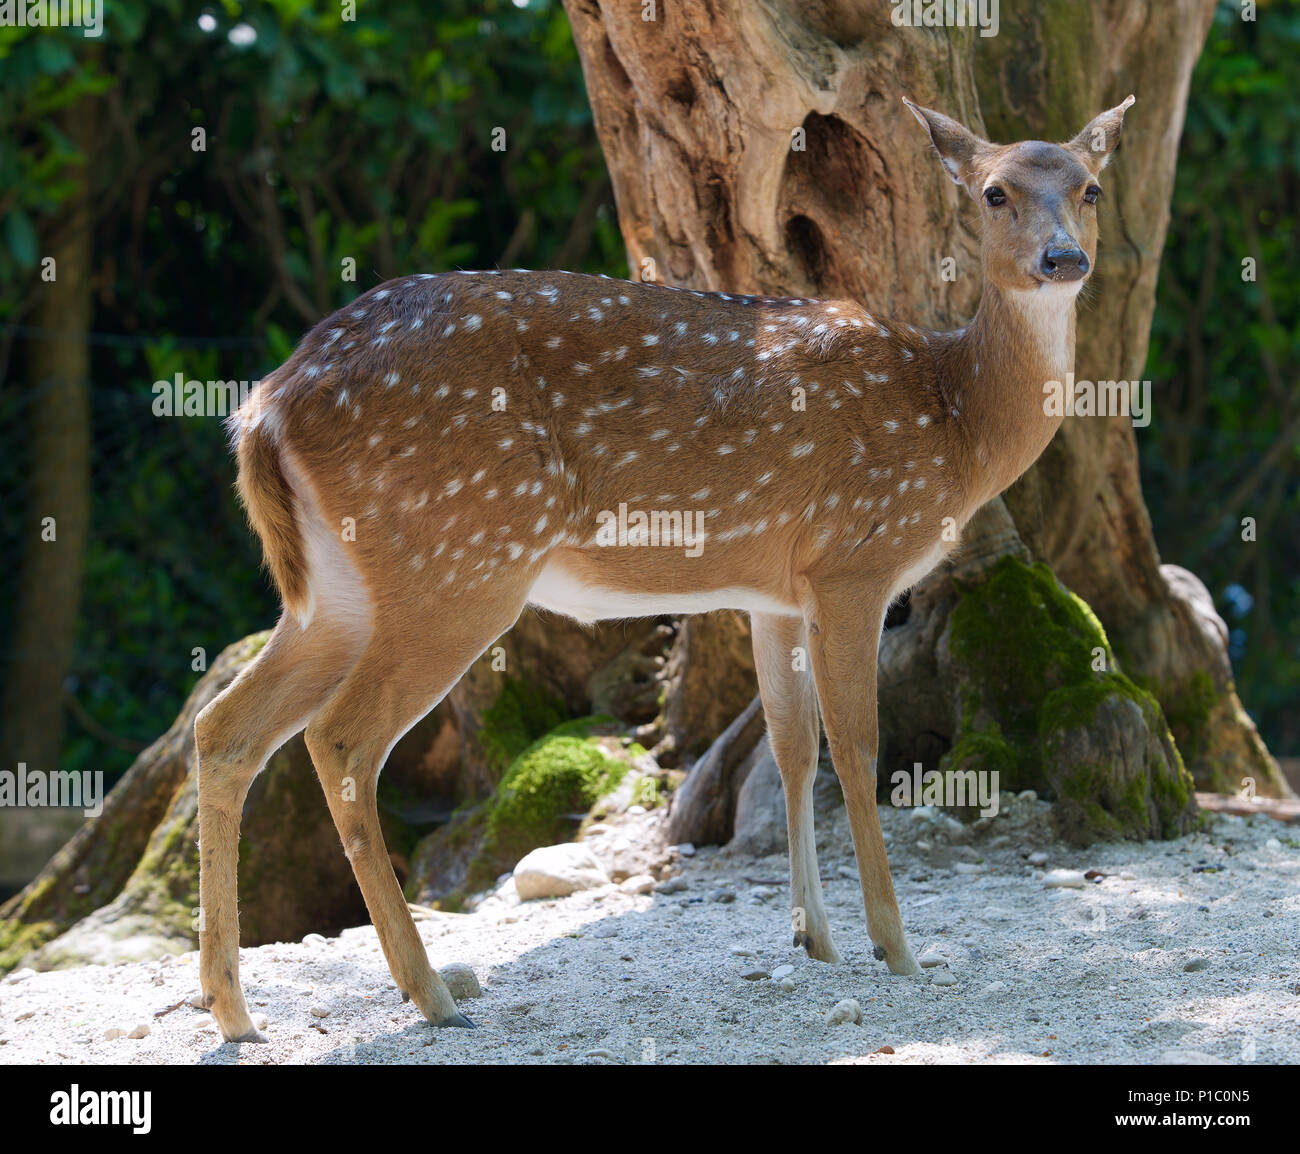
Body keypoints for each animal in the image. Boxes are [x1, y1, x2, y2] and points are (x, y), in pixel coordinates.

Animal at [195, 95, 1134, 1042]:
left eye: (1090, 187)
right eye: (993, 192)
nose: (1064, 258)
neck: (953, 421)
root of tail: (264, 406)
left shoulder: (777, 593)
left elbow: (793, 748)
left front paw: (816, 940)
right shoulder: (855, 560)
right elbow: (857, 749)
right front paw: (898, 950)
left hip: (339, 589)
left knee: (225, 728)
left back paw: (236, 1010)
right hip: (460, 560)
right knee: (339, 738)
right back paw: (431, 991)